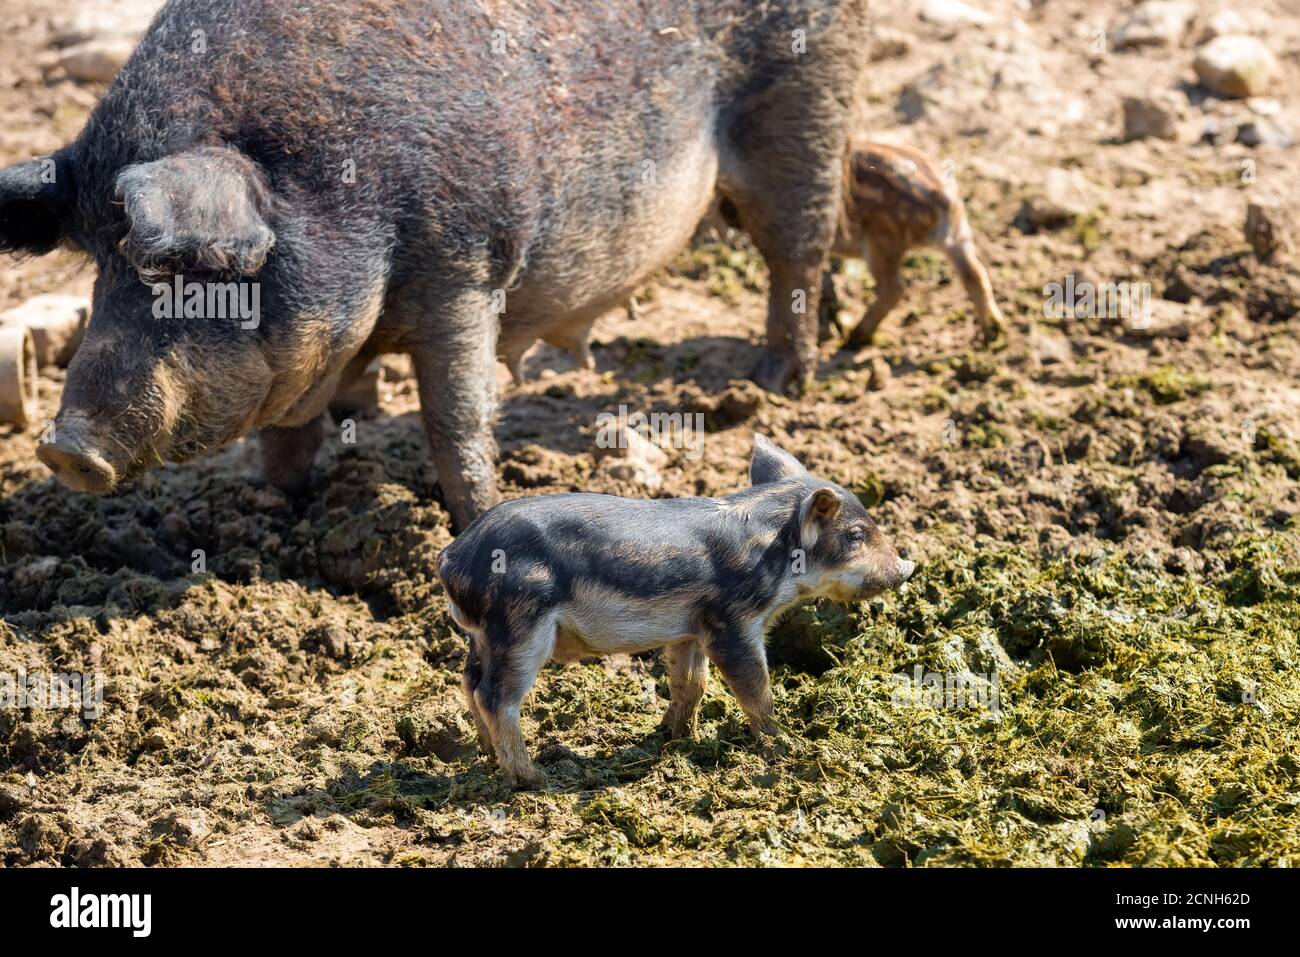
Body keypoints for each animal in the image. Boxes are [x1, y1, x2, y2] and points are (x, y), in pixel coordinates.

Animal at [0, 0, 868, 531]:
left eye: (179, 269)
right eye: (97, 262)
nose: (63, 448)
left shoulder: (466, 271)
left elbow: (455, 419)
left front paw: (477, 521)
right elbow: (290, 428)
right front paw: (280, 507)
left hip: (805, 100)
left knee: (798, 249)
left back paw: (777, 383)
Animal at [436, 434, 915, 787]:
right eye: (855, 535)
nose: (907, 567)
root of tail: (453, 558)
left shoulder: (690, 628)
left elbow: (691, 684)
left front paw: (674, 737)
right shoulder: (731, 621)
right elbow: (755, 688)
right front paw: (786, 745)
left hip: (484, 635)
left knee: (469, 682)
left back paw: (486, 756)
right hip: (520, 623)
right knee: (496, 696)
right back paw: (536, 778)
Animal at [832, 141, 1007, 349]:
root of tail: (941, 193)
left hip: (881, 243)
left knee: (894, 288)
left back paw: (855, 337)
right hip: (960, 232)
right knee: (976, 274)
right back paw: (993, 335)